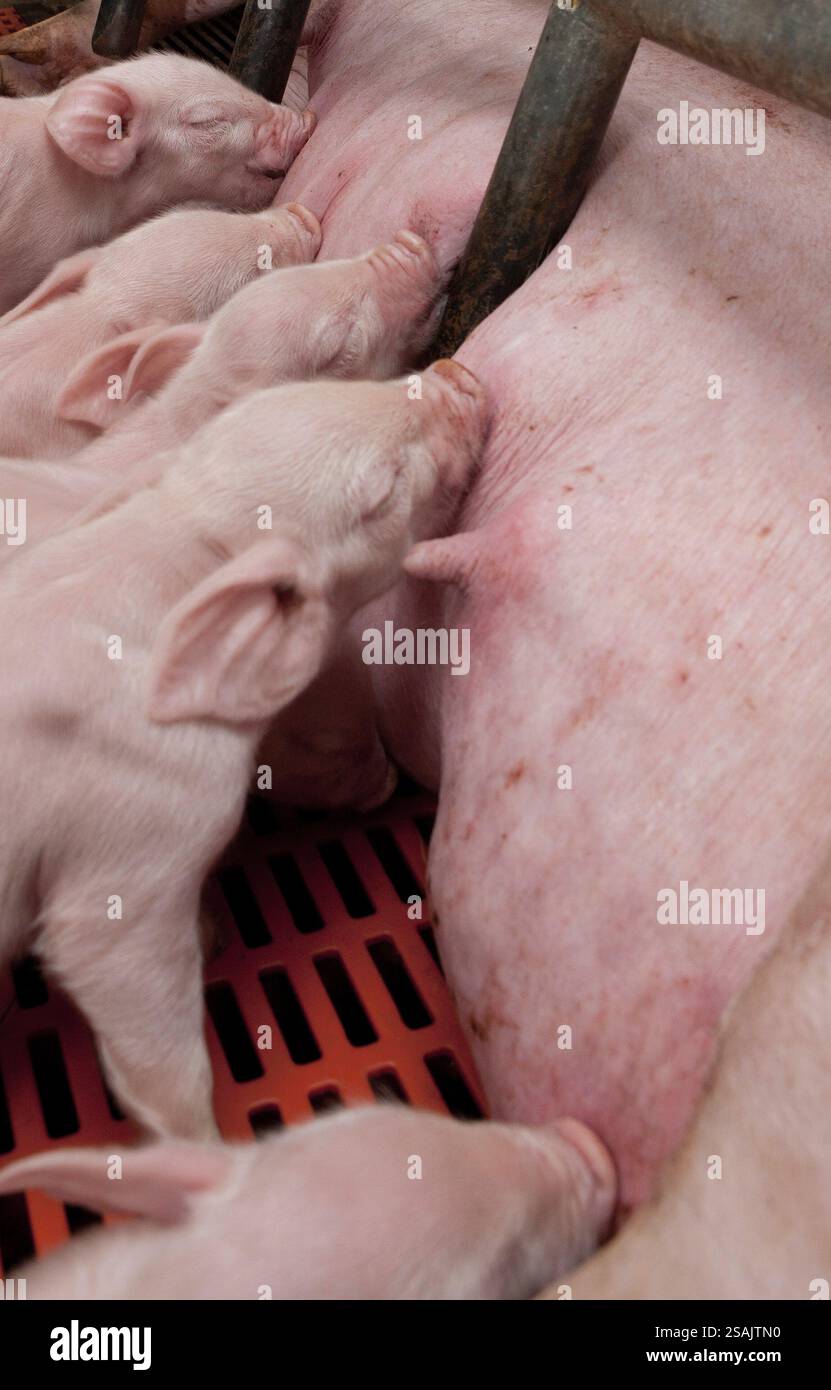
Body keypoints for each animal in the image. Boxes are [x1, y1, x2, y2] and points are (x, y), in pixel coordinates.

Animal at [0, 364, 488, 1140]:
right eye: (380, 491)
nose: (454, 369)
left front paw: (214, 935)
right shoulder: (130, 849)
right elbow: (126, 990)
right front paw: (208, 1148)